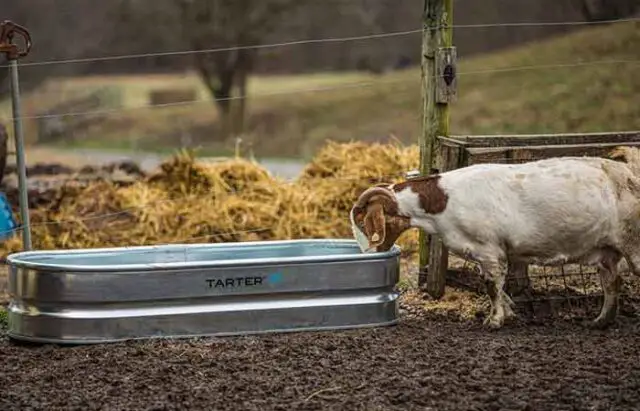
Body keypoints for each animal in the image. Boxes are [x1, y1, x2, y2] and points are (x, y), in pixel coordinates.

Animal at [350, 147, 640, 329]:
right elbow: (494, 287)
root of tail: (629, 172)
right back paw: (600, 322)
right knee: (612, 282)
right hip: (607, 251)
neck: (442, 205)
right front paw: (509, 312)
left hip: (633, 243)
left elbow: (491, 286)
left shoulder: (489, 250)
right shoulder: (484, 253)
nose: (366, 253)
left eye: (363, 222)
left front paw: (494, 321)